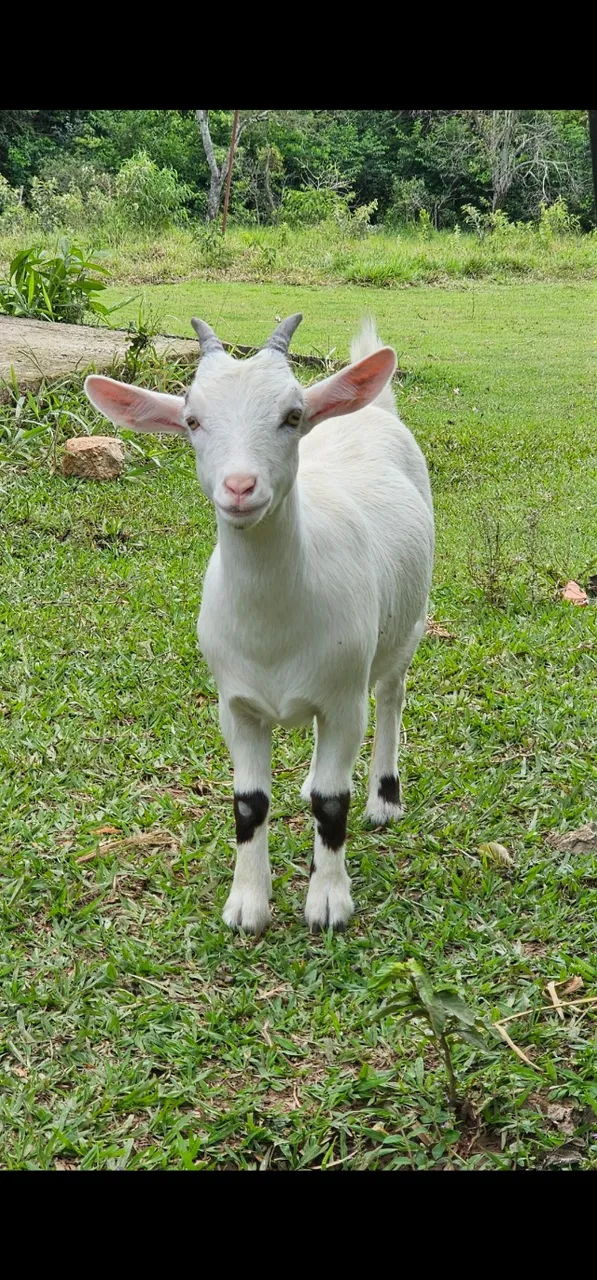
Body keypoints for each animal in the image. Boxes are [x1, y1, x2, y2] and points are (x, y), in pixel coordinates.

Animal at [84, 314, 434, 935]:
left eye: (292, 415)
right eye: (192, 420)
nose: (240, 488)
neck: (277, 625)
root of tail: (374, 410)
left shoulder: (344, 699)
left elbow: (332, 803)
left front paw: (329, 902)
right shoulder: (237, 704)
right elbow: (250, 802)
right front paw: (247, 905)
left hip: (407, 624)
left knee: (392, 695)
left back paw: (384, 800)